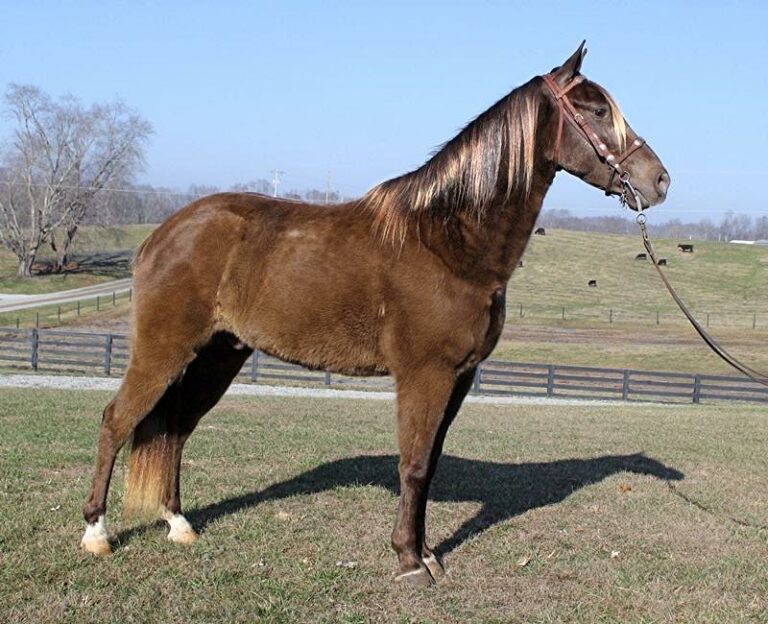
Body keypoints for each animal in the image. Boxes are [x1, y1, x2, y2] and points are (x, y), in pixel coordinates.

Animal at [81, 42, 669, 586]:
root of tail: (164, 232)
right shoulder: (424, 376)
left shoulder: (458, 378)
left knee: (176, 429)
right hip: (163, 351)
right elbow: (413, 463)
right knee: (115, 421)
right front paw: (410, 561)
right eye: (597, 110)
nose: (660, 180)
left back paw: (179, 524)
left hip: (218, 356)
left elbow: (429, 465)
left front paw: (427, 551)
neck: (447, 242)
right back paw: (97, 533)